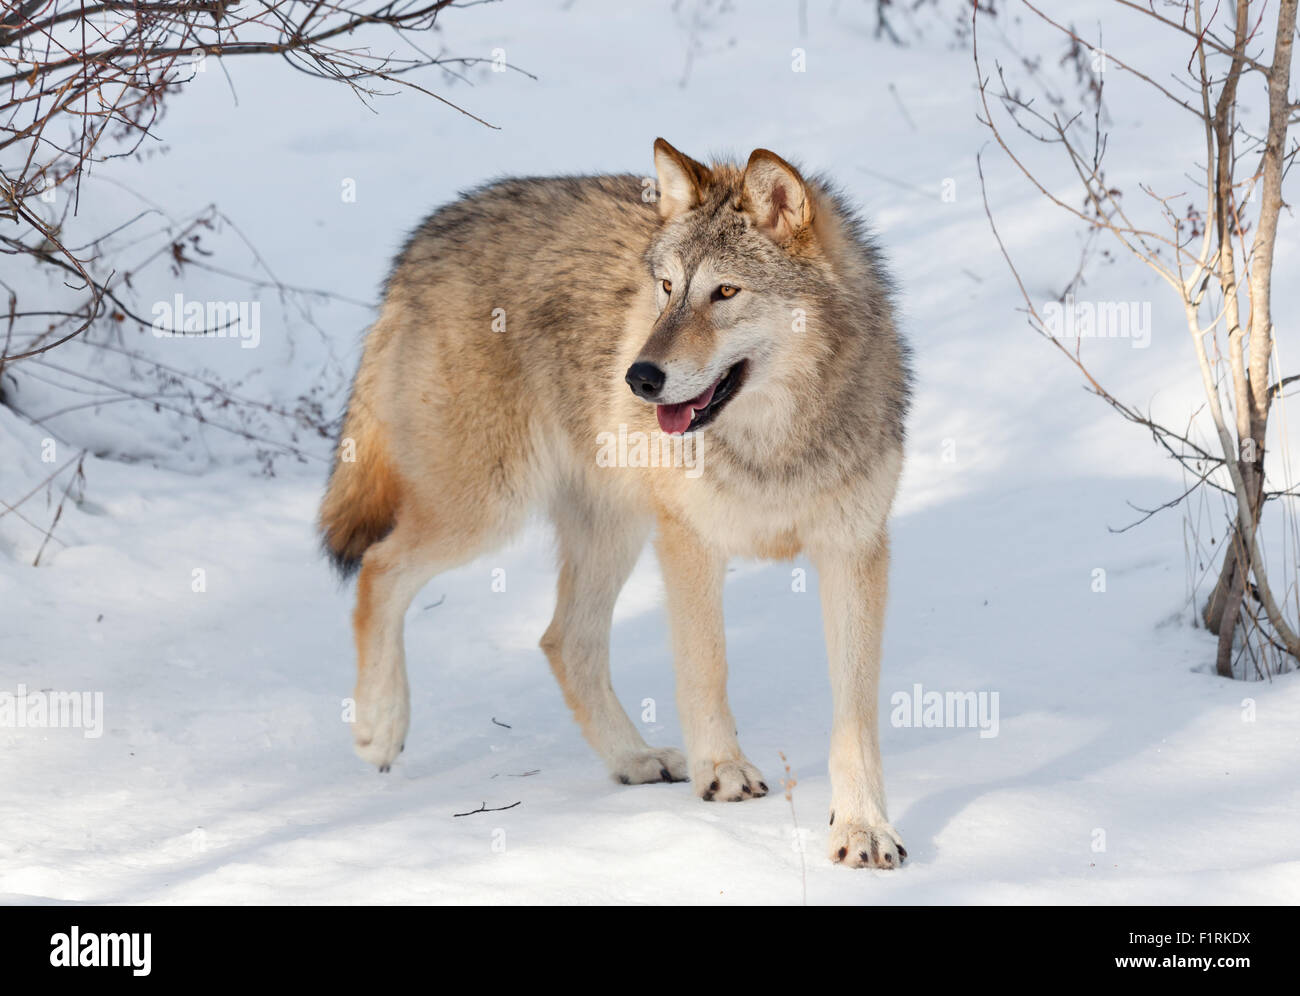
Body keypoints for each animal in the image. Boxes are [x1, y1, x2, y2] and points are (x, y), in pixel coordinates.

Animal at [318, 139, 911, 868]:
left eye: (724, 291)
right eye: (667, 289)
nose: (639, 377)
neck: (774, 445)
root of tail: (424, 237)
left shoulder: (855, 552)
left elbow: (854, 714)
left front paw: (862, 829)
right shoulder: (688, 540)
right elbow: (706, 668)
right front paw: (724, 773)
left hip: (608, 529)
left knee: (561, 639)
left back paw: (634, 759)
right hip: (487, 510)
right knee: (379, 568)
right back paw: (379, 728)